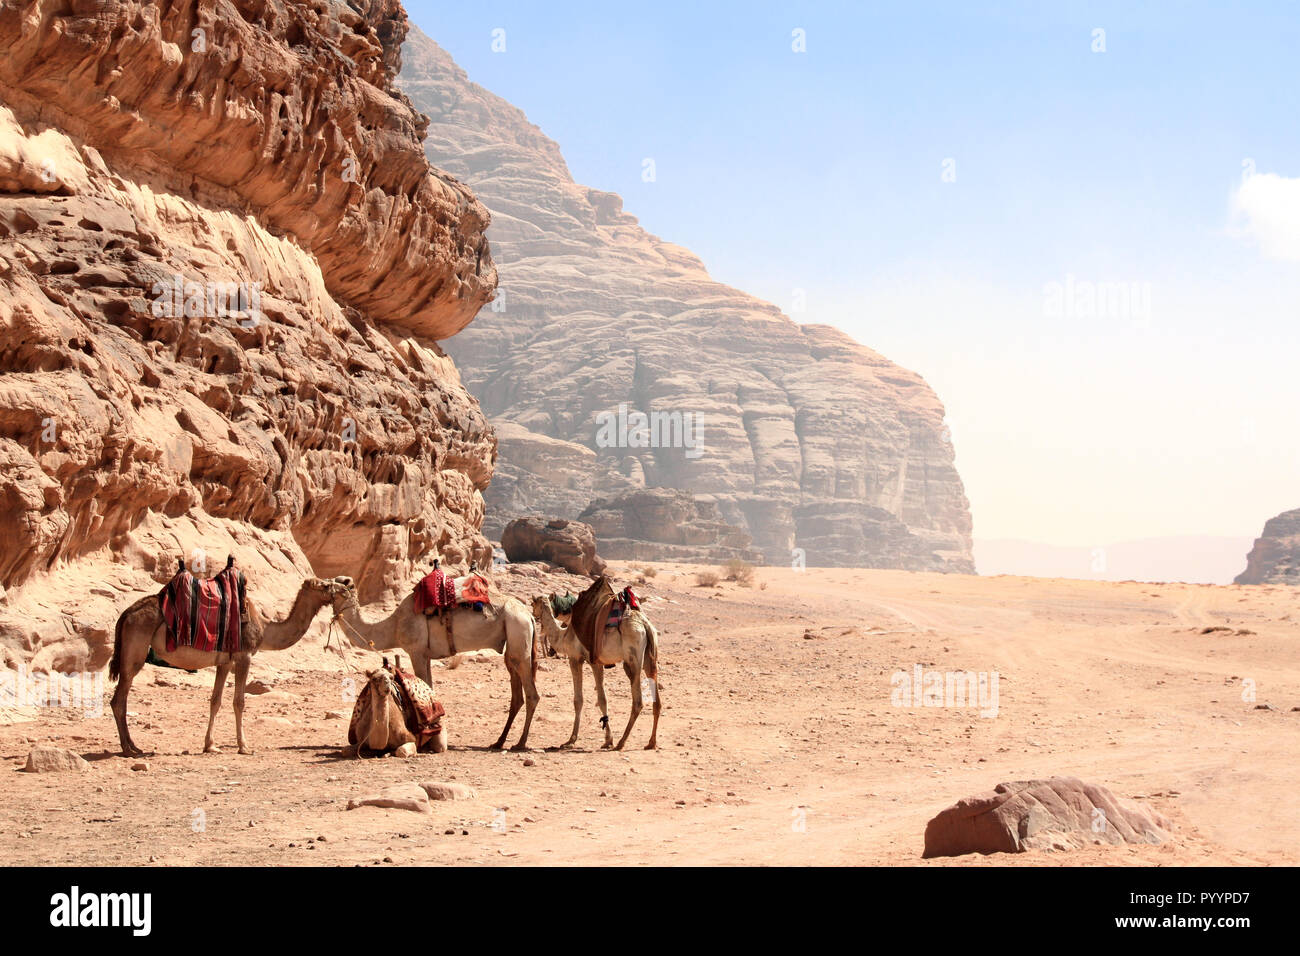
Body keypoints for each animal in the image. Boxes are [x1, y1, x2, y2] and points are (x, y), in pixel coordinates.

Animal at [108, 576, 349, 757]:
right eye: (325, 585)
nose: (346, 588)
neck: (265, 628)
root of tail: (126, 614)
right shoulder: (244, 656)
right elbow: (239, 702)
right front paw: (244, 746)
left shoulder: (224, 662)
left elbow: (215, 700)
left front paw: (210, 745)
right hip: (136, 650)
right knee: (119, 699)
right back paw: (129, 749)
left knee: (121, 698)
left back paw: (134, 746)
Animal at [330, 576, 540, 751]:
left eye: (335, 584)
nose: (324, 584)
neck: (393, 627)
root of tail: (529, 616)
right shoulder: (426, 655)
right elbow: (429, 687)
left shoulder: (417, 651)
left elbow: (423, 686)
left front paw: (429, 737)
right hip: (511, 643)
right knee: (516, 694)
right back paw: (499, 741)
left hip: (518, 632)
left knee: (531, 694)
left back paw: (520, 743)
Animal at [532, 593, 661, 750]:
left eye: (532, 604)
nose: (533, 615)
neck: (563, 635)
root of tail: (645, 625)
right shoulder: (598, 663)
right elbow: (602, 699)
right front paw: (608, 740)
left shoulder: (577, 658)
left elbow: (579, 700)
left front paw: (571, 740)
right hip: (650, 657)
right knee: (657, 700)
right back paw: (651, 742)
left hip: (633, 658)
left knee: (638, 701)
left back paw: (622, 742)